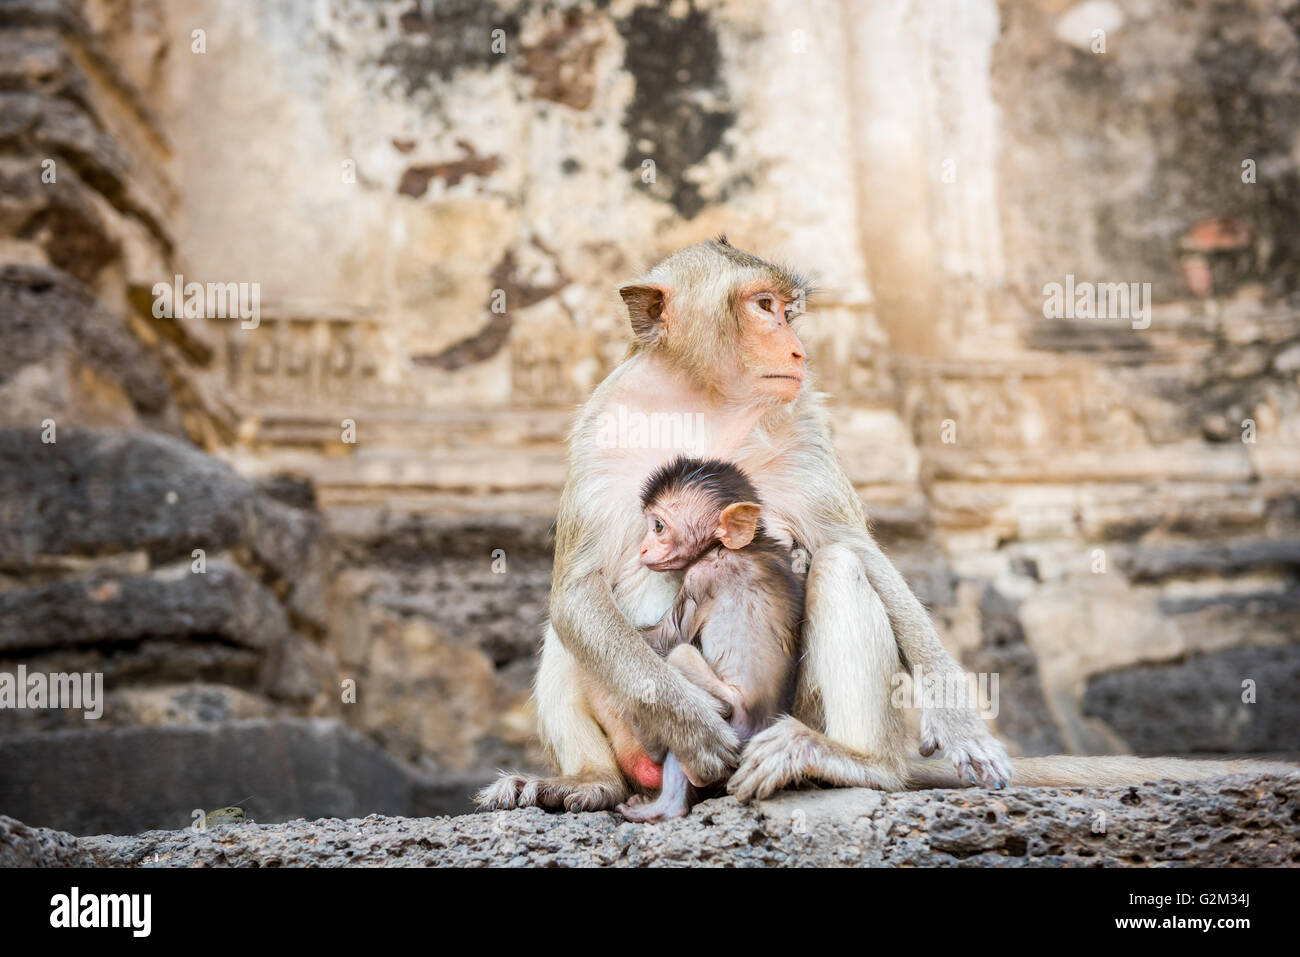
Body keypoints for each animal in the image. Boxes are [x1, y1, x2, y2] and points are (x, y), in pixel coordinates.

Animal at [594, 456, 803, 822]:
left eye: (658, 526)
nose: (643, 547)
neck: (737, 545)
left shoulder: (702, 576)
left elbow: (668, 638)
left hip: (735, 724)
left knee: (682, 658)